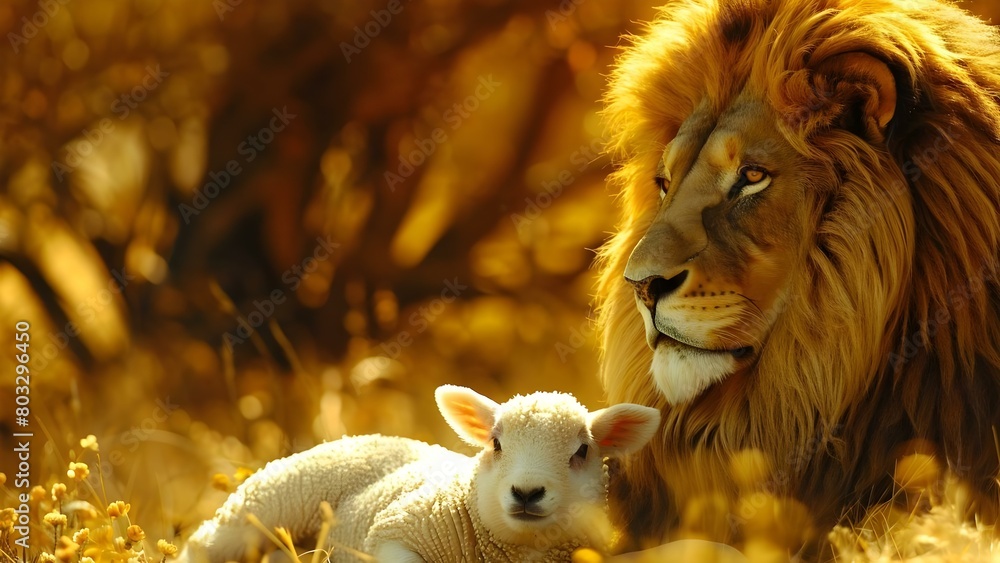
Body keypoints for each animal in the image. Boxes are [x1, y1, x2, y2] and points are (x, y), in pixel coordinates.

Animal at [179, 385, 660, 562]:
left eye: (582, 451)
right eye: (496, 444)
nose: (526, 492)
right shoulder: (398, 529)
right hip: (266, 502)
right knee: (205, 544)